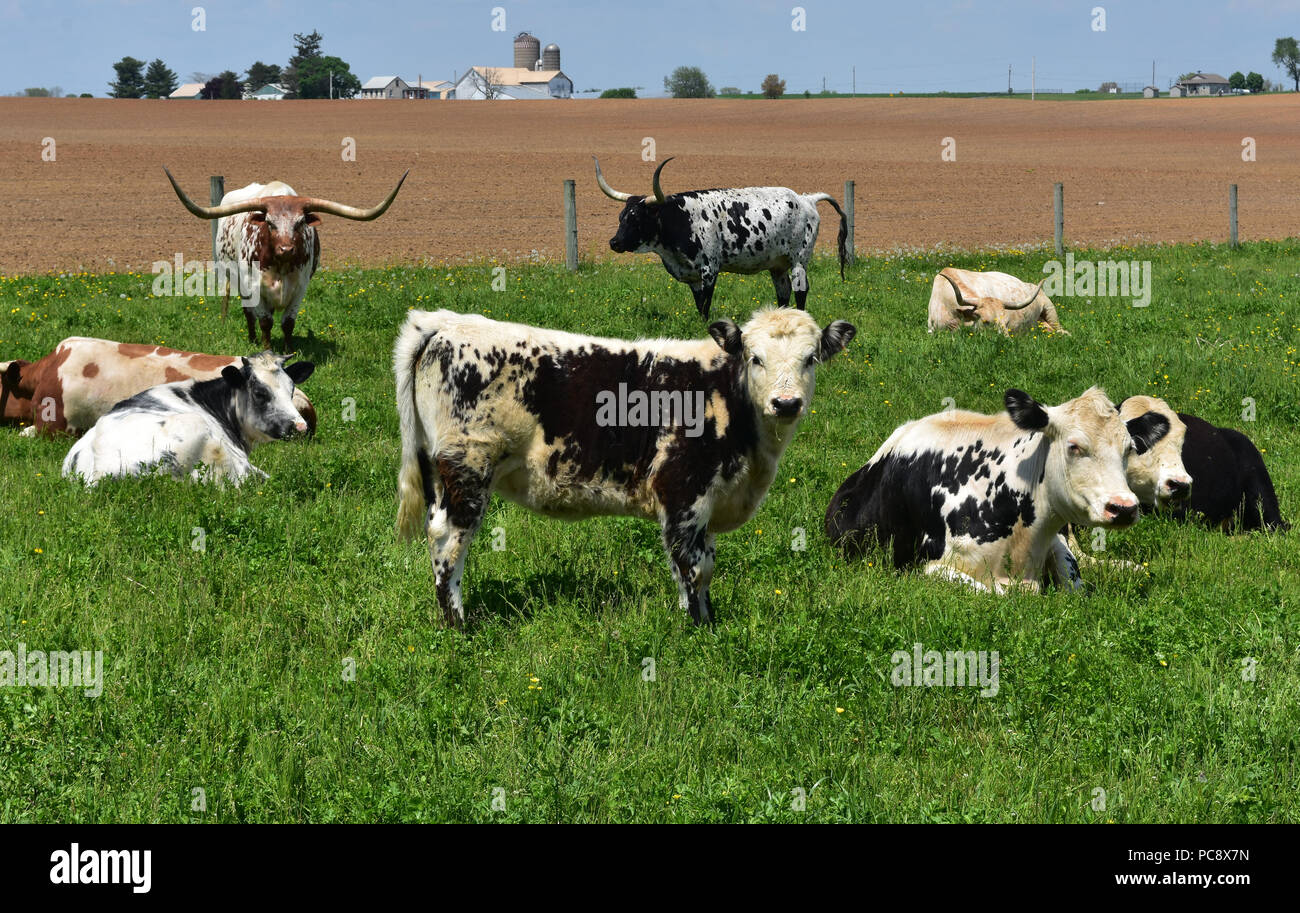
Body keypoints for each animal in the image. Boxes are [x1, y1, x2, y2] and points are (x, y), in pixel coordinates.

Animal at [164, 167, 408, 350]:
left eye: (299, 223)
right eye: (269, 223)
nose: (286, 249)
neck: (280, 266)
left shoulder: (300, 288)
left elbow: (288, 322)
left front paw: (289, 350)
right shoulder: (254, 286)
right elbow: (264, 321)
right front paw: (266, 349)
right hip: (234, 278)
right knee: (248, 314)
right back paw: (252, 339)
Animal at [393, 306, 856, 627]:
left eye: (810, 358)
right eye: (755, 357)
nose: (786, 403)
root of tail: (445, 323)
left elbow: (706, 564)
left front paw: (707, 619)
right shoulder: (683, 492)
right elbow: (694, 566)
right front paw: (697, 630)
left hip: (442, 472)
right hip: (468, 466)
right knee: (450, 541)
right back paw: (458, 624)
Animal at [594, 156, 848, 319]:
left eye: (636, 218)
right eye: (621, 217)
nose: (614, 242)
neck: (680, 219)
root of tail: (806, 198)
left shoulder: (710, 269)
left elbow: (706, 304)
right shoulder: (692, 276)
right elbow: (699, 306)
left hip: (799, 260)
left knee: (801, 292)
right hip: (777, 266)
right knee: (783, 294)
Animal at [824, 388, 1171, 594]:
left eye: (1130, 449)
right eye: (1074, 446)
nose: (1123, 507)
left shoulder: (1054, 541)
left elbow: (1075, 585)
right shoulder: (927, 565)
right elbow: (997, 593)